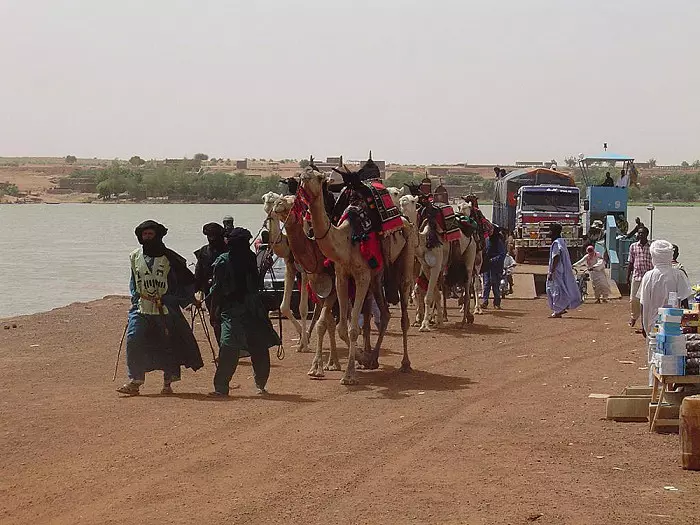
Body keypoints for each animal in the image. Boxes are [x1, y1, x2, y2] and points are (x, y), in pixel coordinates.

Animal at [266, 192, 344, 372]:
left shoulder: (306, 273)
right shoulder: (290, 266)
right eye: (266, 199)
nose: (275, 205)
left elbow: (302, 308)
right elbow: (284, 307)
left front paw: (305, 344)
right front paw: (303, 340)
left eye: (293, 201)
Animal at [296, 166, 416, 382]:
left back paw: (405, 363)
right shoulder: (341, 275)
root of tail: (405, 220)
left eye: (319, 177)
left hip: (406, 254)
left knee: (403, 313)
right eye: (301, 176)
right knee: (385, 314)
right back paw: (373, 358)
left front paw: (349, 374)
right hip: (377, 276)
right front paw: (363, 359)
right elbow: (343, 328)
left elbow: (353, 329)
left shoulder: (362, 276)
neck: (345, 240)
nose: (306, 175)